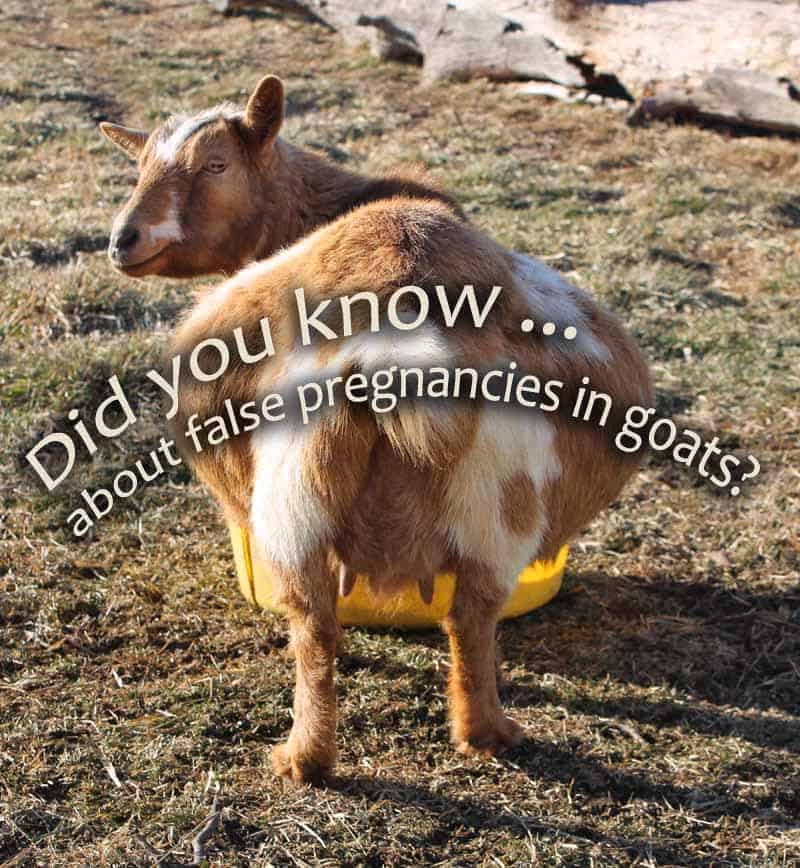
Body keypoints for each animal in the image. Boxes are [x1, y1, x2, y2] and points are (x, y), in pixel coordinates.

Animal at [101, 75, 652, 784]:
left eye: (216, 165)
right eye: (138, 165)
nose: (124, 241)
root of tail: (396, 323)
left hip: (314, 507)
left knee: (325, 628)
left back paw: (323, 755)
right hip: (482, 511)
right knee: (451, 621)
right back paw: (447, 739)